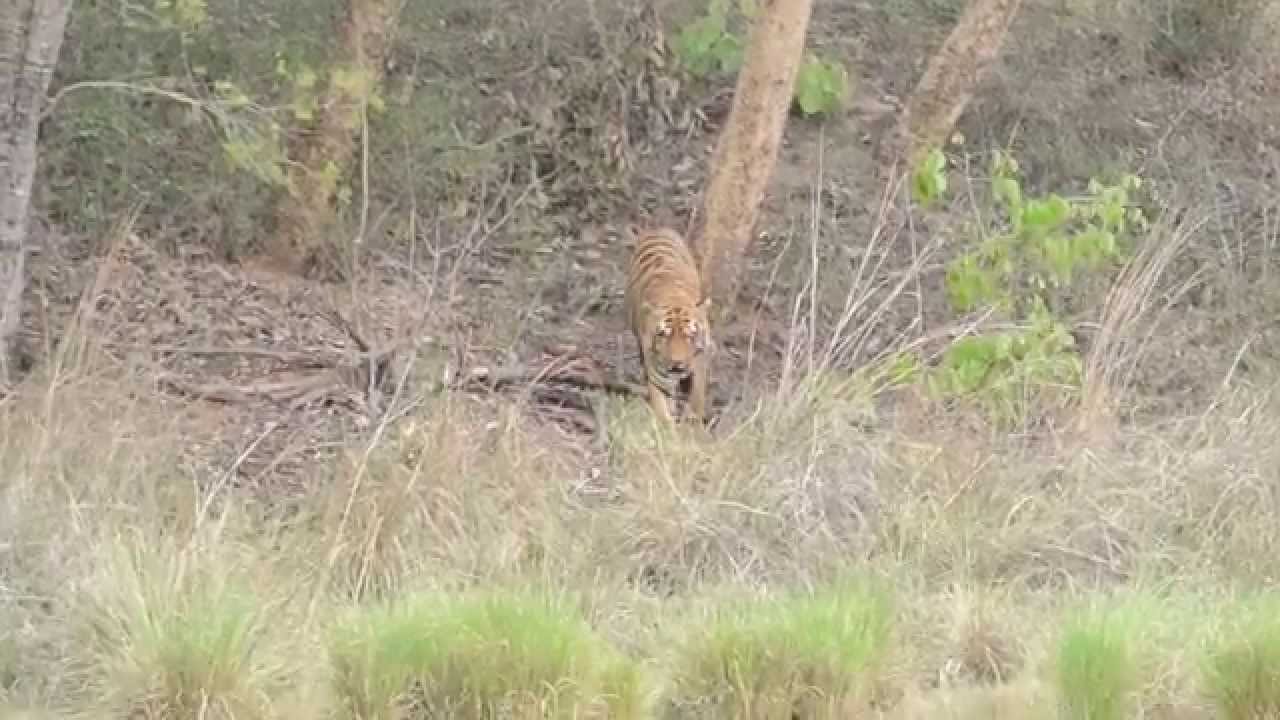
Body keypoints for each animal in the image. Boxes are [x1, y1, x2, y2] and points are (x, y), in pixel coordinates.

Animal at [624, 225, 712, 425]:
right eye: (663, 334)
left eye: (690, 335)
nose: (677, 365)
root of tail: (655, 229)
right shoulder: (657, 372)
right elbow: (662, 407)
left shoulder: (700, 361)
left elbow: (696, 397)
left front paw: (693, 422)